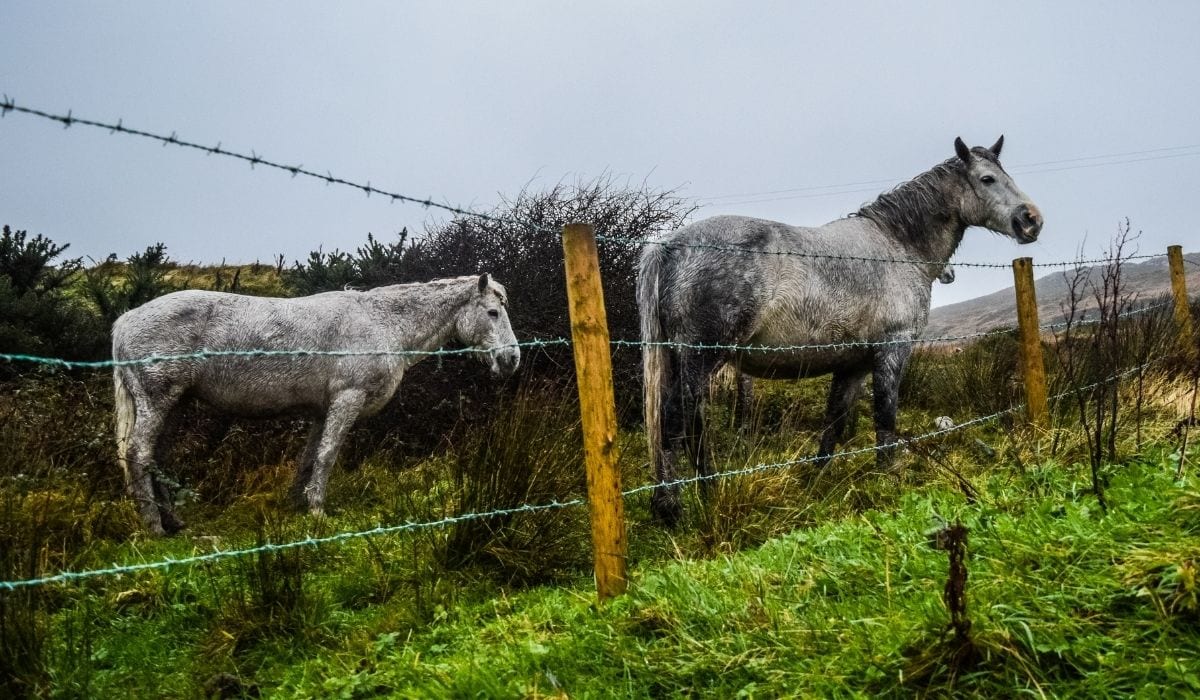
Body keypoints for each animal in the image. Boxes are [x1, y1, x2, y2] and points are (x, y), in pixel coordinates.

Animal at [112, 274, 519, 535]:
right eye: (493, 312)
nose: (512, 359)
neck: (381, 322)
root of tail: (125, 320)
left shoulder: (323, 411)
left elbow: (309, 458)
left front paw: (298, 505)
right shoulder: (346, 400)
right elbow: (327, 455)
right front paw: (318, 511)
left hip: (174, 406)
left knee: (155, 458)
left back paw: (174, 522)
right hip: (157, 402)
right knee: (137, 454)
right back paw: (154, 527)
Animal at [638, 136, 1043, 525]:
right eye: (987, 179)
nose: (1032, 220)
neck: (897, 246)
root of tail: (669, 247)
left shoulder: (853, 365)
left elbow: (833, 422)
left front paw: (815, 481)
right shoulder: (891, 352)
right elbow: (885, 417)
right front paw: (888, 480)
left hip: (684, 359)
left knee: (692, 424)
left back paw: (708, 490)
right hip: (701, 357)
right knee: (674, 419)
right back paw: (670, 508)